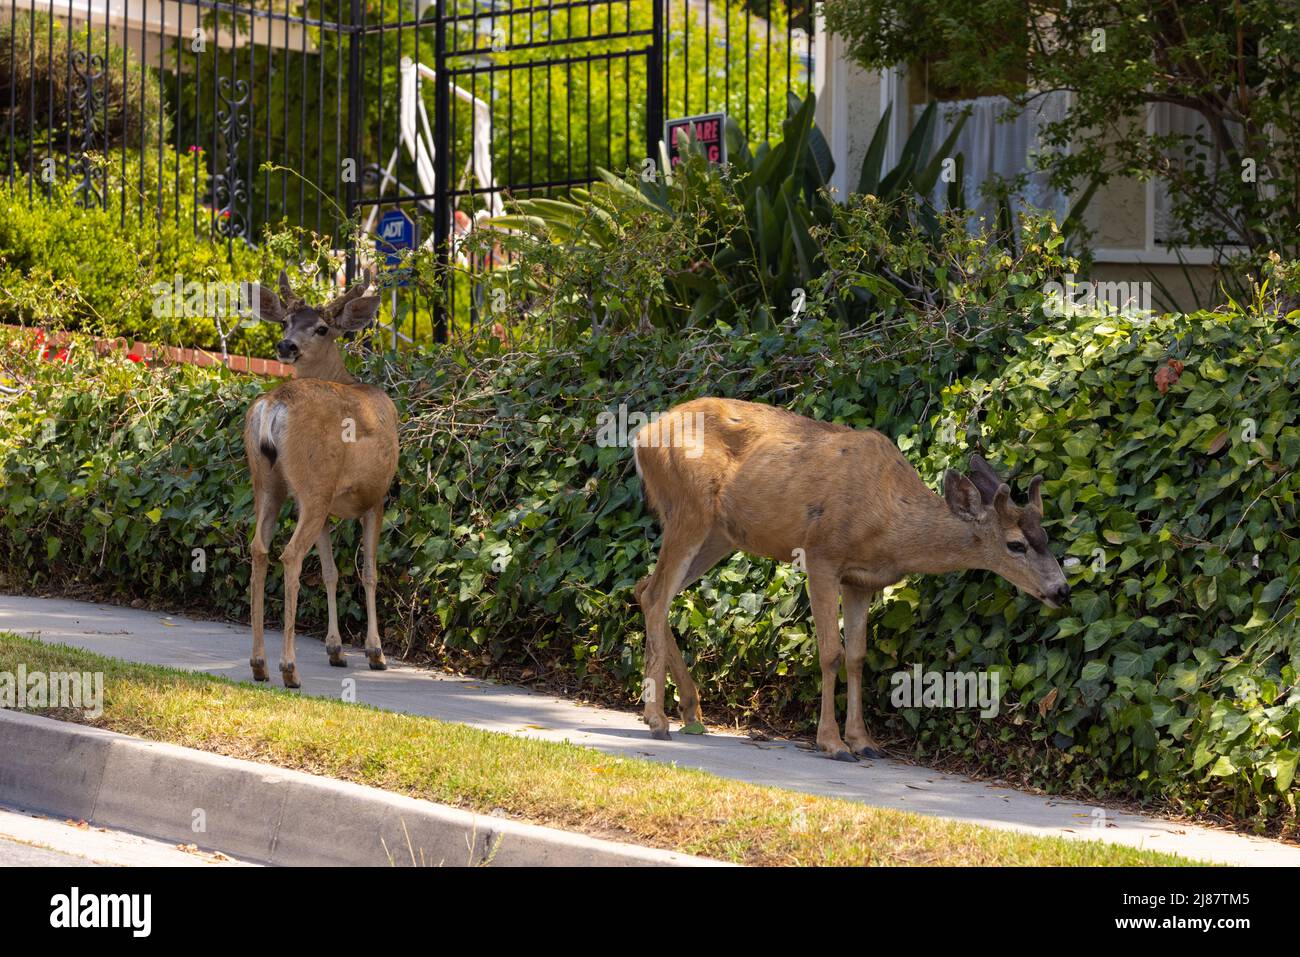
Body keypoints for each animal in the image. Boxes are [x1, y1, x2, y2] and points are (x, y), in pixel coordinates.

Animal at [241, 270, 399, 687]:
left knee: (259, 549)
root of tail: (273, 404)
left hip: (269, 484)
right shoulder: (376, 496)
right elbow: (369, 572)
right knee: (290, 554)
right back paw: (289, 669)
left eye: (322, 327)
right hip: (314, 484)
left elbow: (330, 572)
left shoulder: (327, 508)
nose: (286, 345)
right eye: (285, 322)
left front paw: (336, 649)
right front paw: (375, 652)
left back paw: (259, 664)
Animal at [632, 397, 1070, 761]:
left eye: (1046, 537)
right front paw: (832, 743)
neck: (889, 522)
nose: (1062, 590)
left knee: (645, 588)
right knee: (656, 594)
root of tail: (642, 435)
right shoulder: (821, 556)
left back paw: (691, 711)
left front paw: (864, 742)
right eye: (1016, 544)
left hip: (720, 534)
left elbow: (858, 657)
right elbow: (830, 653)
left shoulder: (863, 580)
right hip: (688, 509)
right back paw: (657, 719)